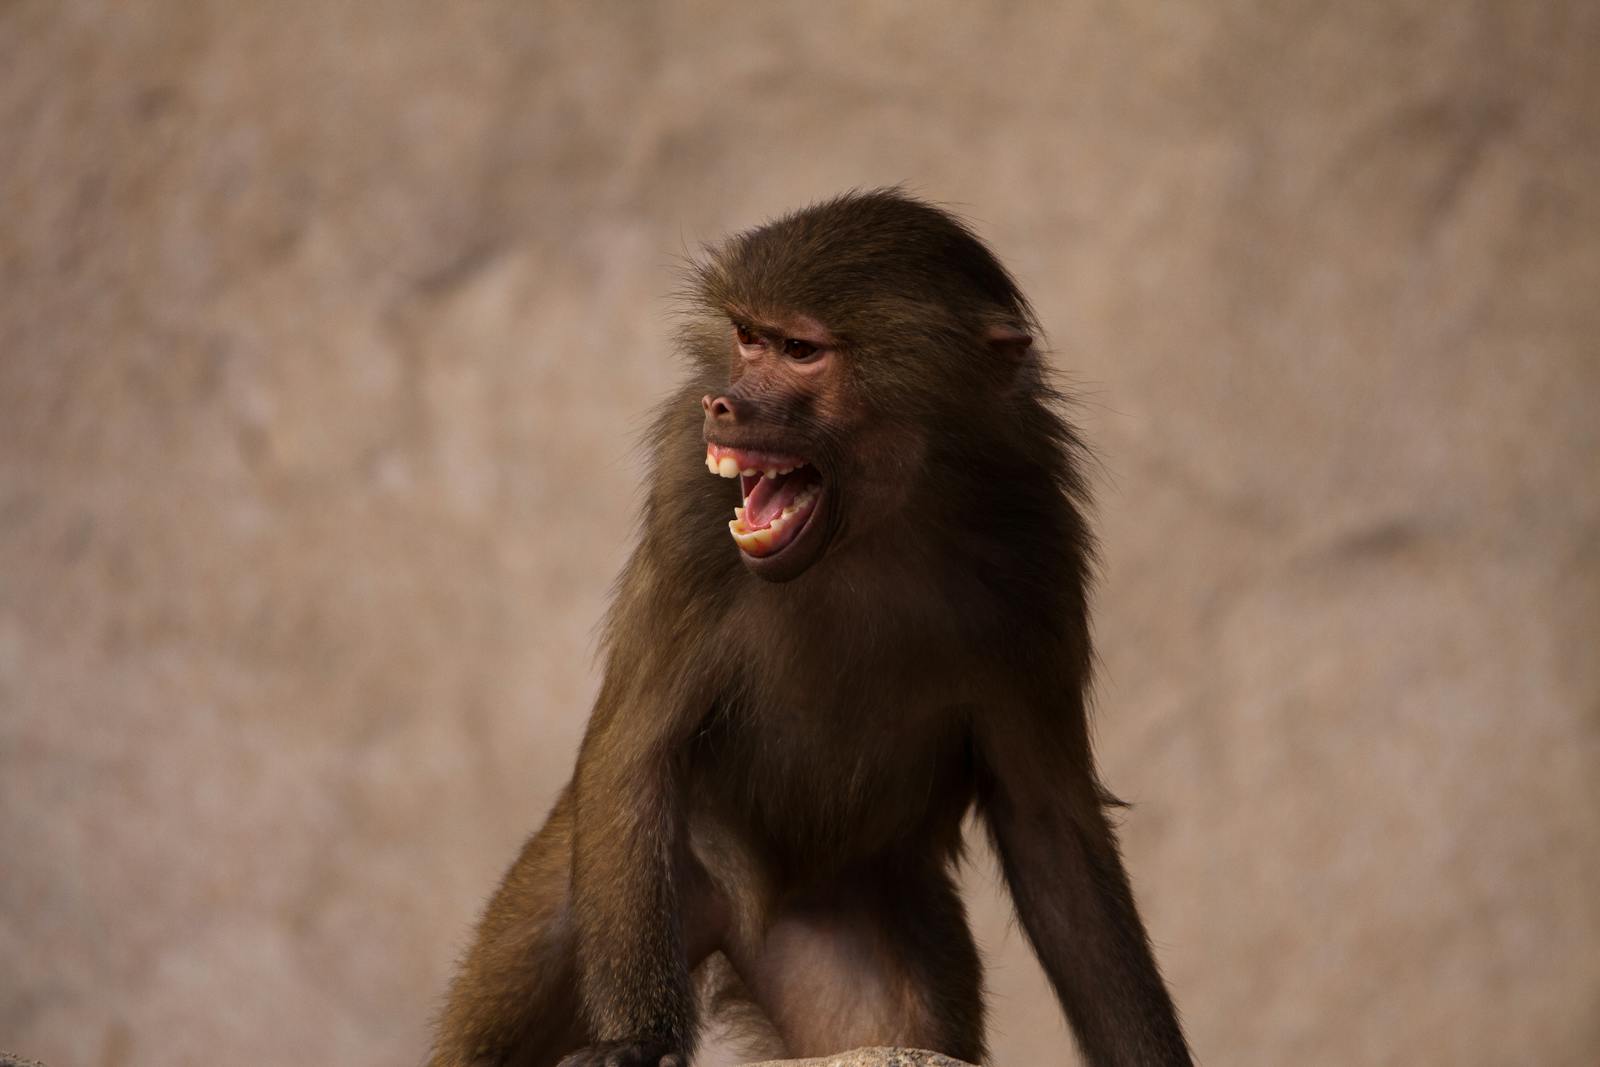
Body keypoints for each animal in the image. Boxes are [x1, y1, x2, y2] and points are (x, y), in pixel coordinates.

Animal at [430, 190, 1193, 1067]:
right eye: (746, 336)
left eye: (800, 350)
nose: (722, 403)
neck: (877, 526)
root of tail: (745, 919)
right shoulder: (689, 497)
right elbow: (637, 746)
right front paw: (640, 1040)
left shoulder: (1042, 555)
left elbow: (1051, 830)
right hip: (622, 882)